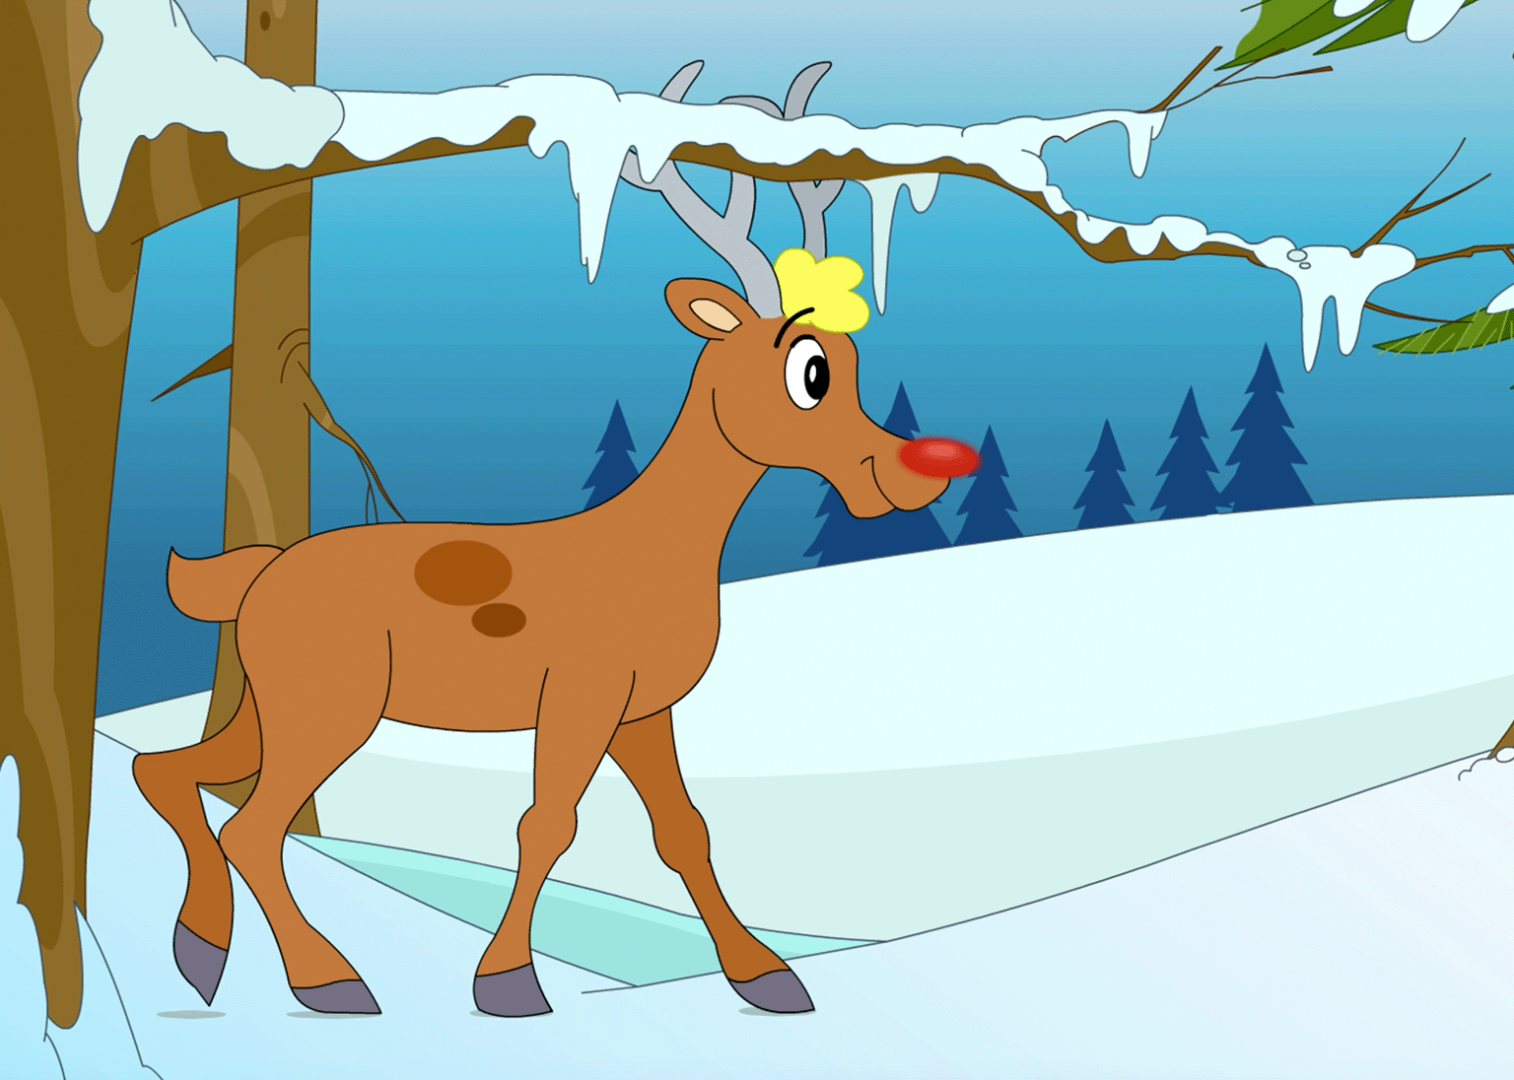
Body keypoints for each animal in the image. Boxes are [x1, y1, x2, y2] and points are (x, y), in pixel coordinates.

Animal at [131, 61, 979, 1018]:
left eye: (854, 361)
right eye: (811, 372)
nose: (919, 469)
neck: (657, 548)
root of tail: (256, 577)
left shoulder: (644, 709)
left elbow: (684, 830)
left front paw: (767, 976)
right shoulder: (582, 692)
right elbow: (547, 823)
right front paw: (506, 981)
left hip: (275, 699)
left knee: (169, 772)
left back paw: (202, 950)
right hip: (328, 704)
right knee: (251, 823)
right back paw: (329, 979)